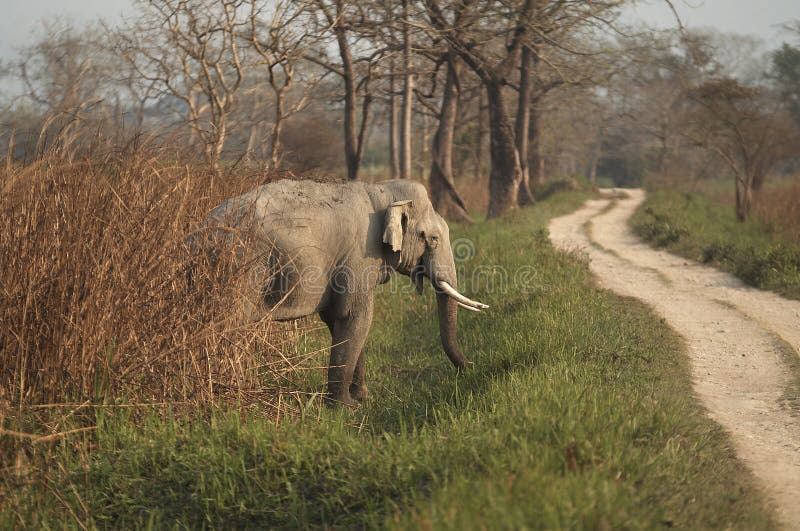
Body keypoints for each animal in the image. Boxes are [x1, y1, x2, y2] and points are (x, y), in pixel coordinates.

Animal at [193, 178, 488, 406]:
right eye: (433, 238)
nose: (471, 367)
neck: (382, 192)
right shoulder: (359, 255)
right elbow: (355, 316)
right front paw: (347, 407)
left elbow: (338, 320)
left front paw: (362, 398)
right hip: (241, 270)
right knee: (228, 324)